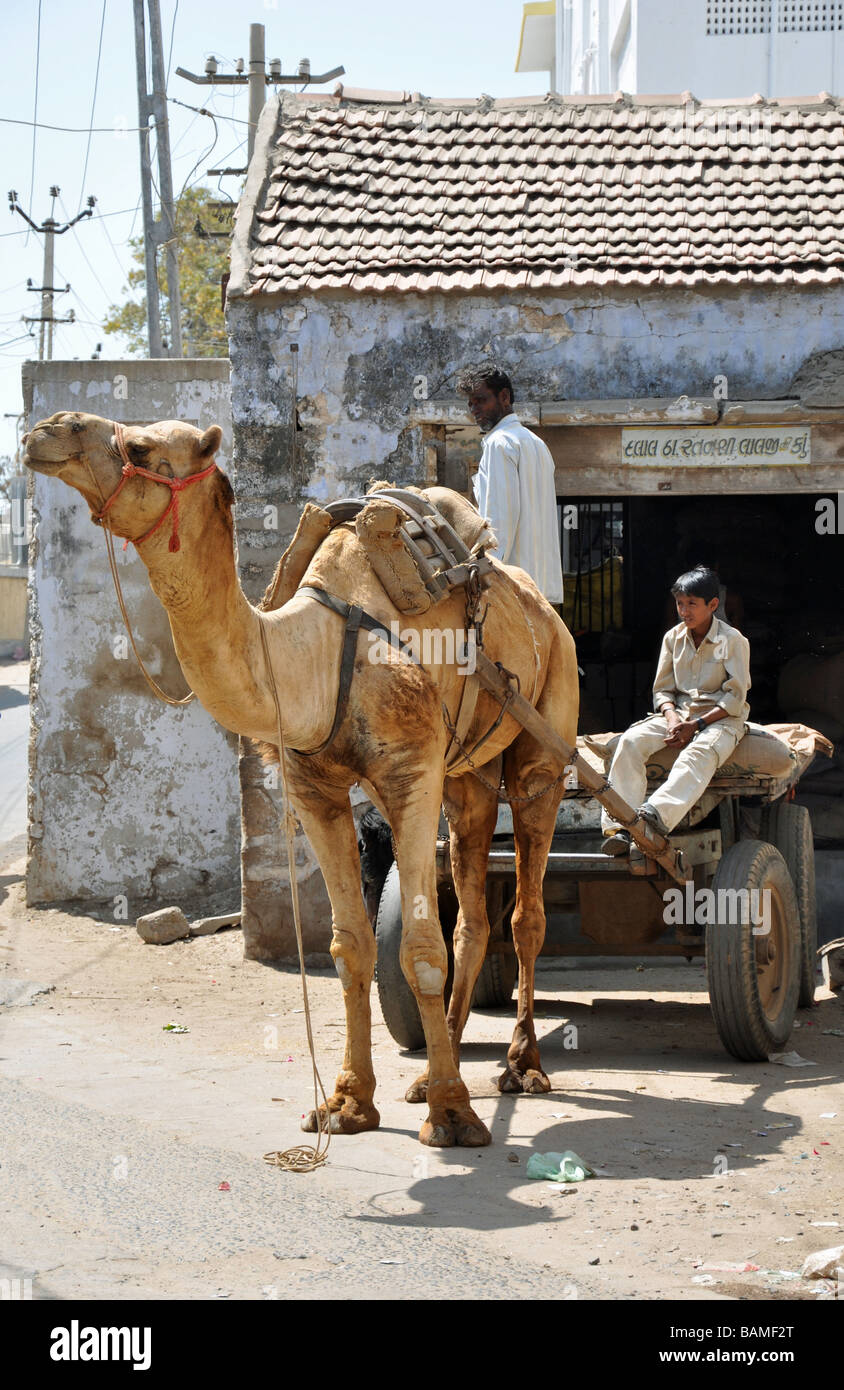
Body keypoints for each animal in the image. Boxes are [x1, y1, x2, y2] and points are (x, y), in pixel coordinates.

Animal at [23, 411, 579, 1148]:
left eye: (140, 446)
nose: (48, 429)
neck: (311, 652)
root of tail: (543, 608)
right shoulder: (314, 791)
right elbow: (351, 945)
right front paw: (348, 1105)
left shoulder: (410, 770)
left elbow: (419, 947)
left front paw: (453, 1118)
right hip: (468, 776)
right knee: (474, 911)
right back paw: (445, 1063)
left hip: (546, 735)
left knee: (526, 912)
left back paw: (522, 1065)